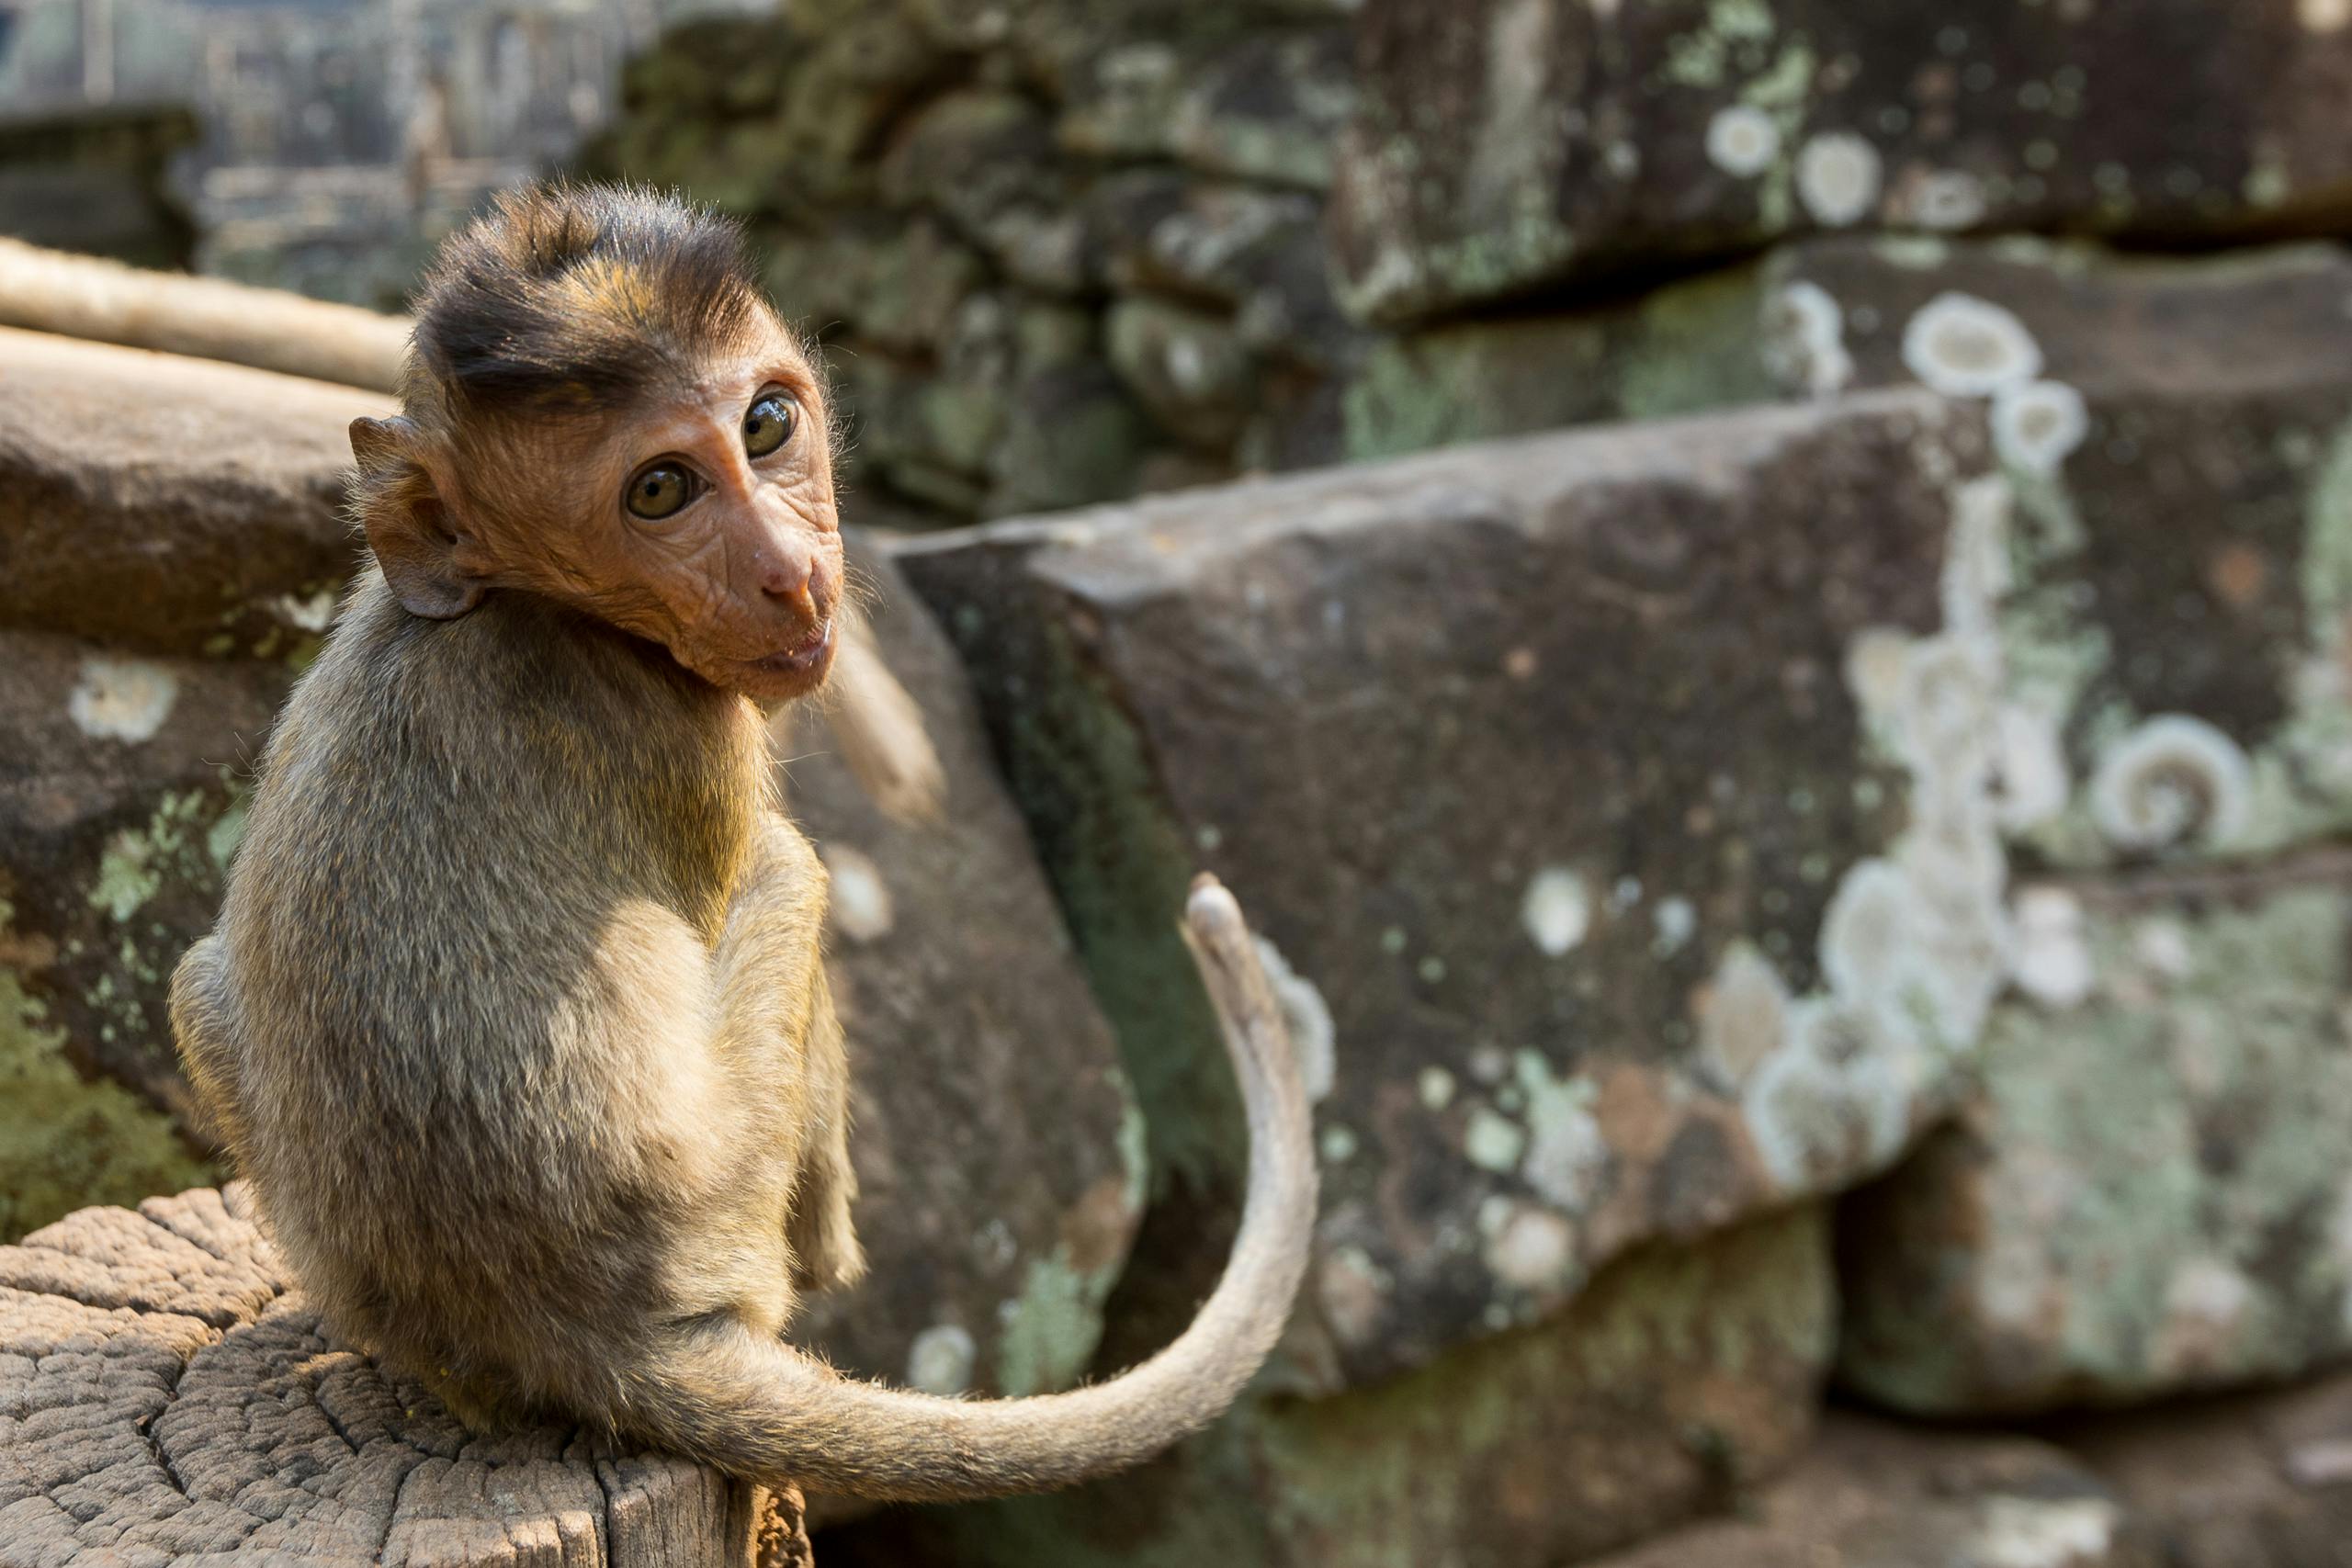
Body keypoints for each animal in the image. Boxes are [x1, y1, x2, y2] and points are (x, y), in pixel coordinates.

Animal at [166, 183, 1315, 1501]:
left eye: (767, 425)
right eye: (660, 491)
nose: (788, 573)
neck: (537, 606)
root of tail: (583, 1335)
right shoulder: (687, 737)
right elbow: (757, 860)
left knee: (197, 982)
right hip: (725, 1197)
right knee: (788, 869)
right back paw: (813, 1259)